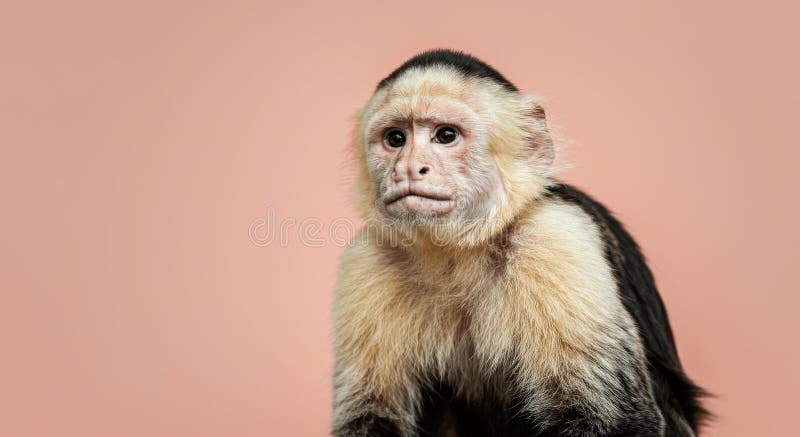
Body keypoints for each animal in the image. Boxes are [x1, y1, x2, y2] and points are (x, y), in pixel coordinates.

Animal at [332, 49, 709, 436]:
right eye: (395, 139)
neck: (458, 252)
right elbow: (370, 416)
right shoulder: (366, 259)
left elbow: (613, 420)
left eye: (445, 135)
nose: (408, 168)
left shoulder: (556, 234)